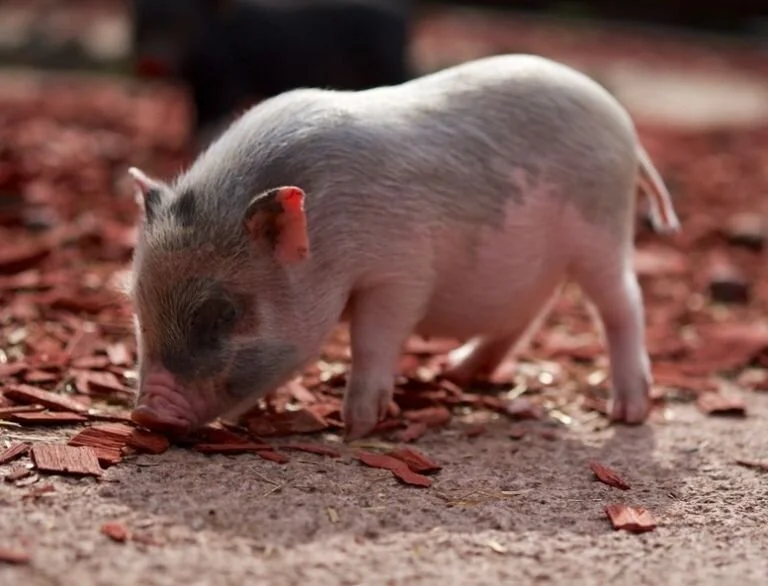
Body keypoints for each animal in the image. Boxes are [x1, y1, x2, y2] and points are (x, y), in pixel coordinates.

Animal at [125, 53, 680, 441]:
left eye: (225, 314)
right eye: (138, 309)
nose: (148, 412)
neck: (328, 229)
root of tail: (626, 128)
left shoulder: (399, 272)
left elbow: (373, 339)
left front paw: (356, 426)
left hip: (601, 231)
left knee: (624, 303)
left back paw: (628, 412)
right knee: (530, 312)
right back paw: (454, 370)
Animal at [129, 0, 414, 148]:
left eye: (185, 24)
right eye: (142, 24)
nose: (151, 61)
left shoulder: (229, 80)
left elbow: (211, 121)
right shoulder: (199, 87)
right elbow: (196, 117)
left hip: (390, 65)